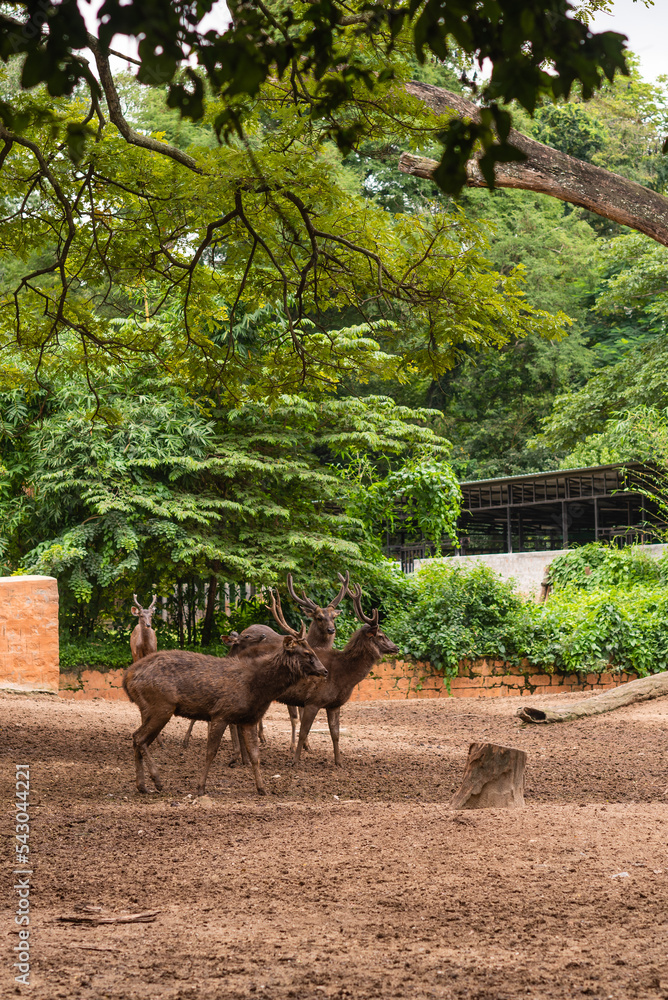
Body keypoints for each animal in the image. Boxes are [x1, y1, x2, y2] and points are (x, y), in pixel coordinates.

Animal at [122, 622, 327, 797]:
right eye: (307, 653)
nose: (324, 671)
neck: (258, 688)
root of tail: (127, 677)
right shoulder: (220, 713)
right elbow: (210, 753)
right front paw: (200, 787)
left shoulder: (249, 719)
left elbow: (255, 755)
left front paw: (262, 788)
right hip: (161, 705)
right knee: (139, 738)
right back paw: (157, 781)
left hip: (150, 708)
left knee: (137, 738)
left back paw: (142, 786)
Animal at [269, 582, 398, 766]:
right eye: (380, 635)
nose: (396, 647)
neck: (343, 675)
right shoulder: (313, 700)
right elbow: (304, 732)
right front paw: (295, 761)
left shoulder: (334, 704)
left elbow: (335, 734)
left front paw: (339, 762)